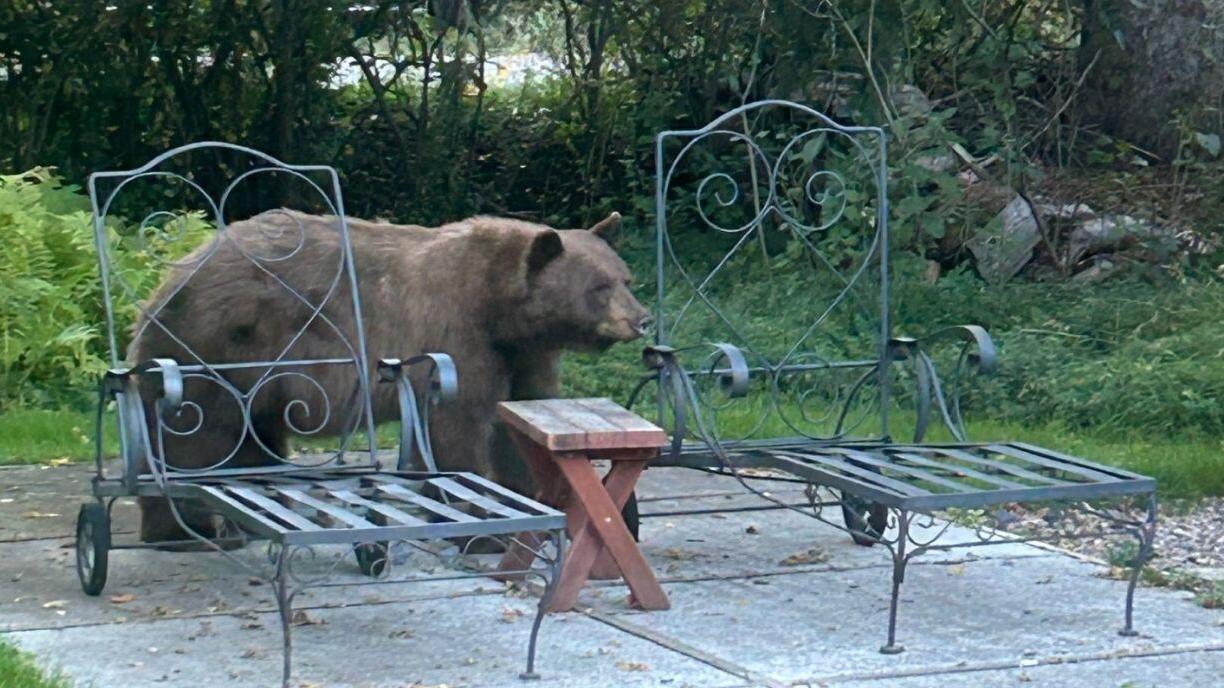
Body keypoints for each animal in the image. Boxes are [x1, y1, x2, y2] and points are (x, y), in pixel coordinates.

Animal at [129, 209, 650, 544]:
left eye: (625, 279)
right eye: (599, 287)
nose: (641, 319)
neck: (501, 309)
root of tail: (169, 278)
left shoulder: (524, 354)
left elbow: (522, 417)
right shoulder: (455, 333)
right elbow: (459, 427)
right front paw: (482, 527)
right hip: (218, 348)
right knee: (194, 436)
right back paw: (185, 528)